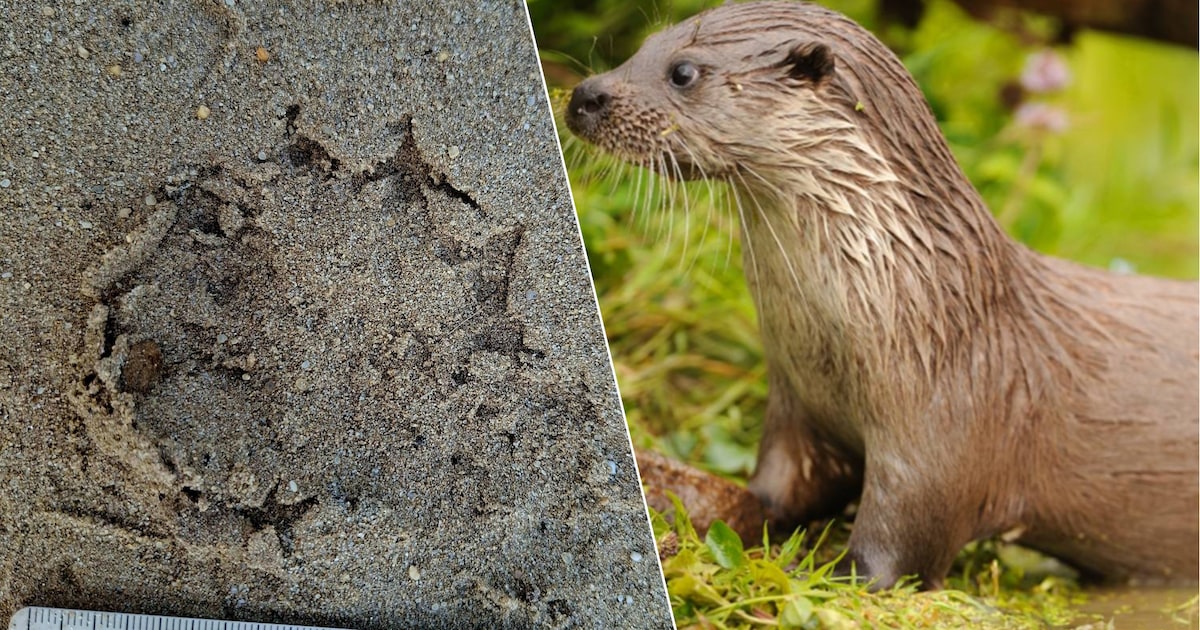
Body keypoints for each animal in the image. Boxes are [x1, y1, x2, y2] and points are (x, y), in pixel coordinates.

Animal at [565, 1, 1199, 589]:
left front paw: (822, 574)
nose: (585, 95)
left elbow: (898, 547)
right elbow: (775, 491)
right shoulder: (797, 406)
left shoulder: (941, 437)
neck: (921, 310)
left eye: (683, 71)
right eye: (641, 48)